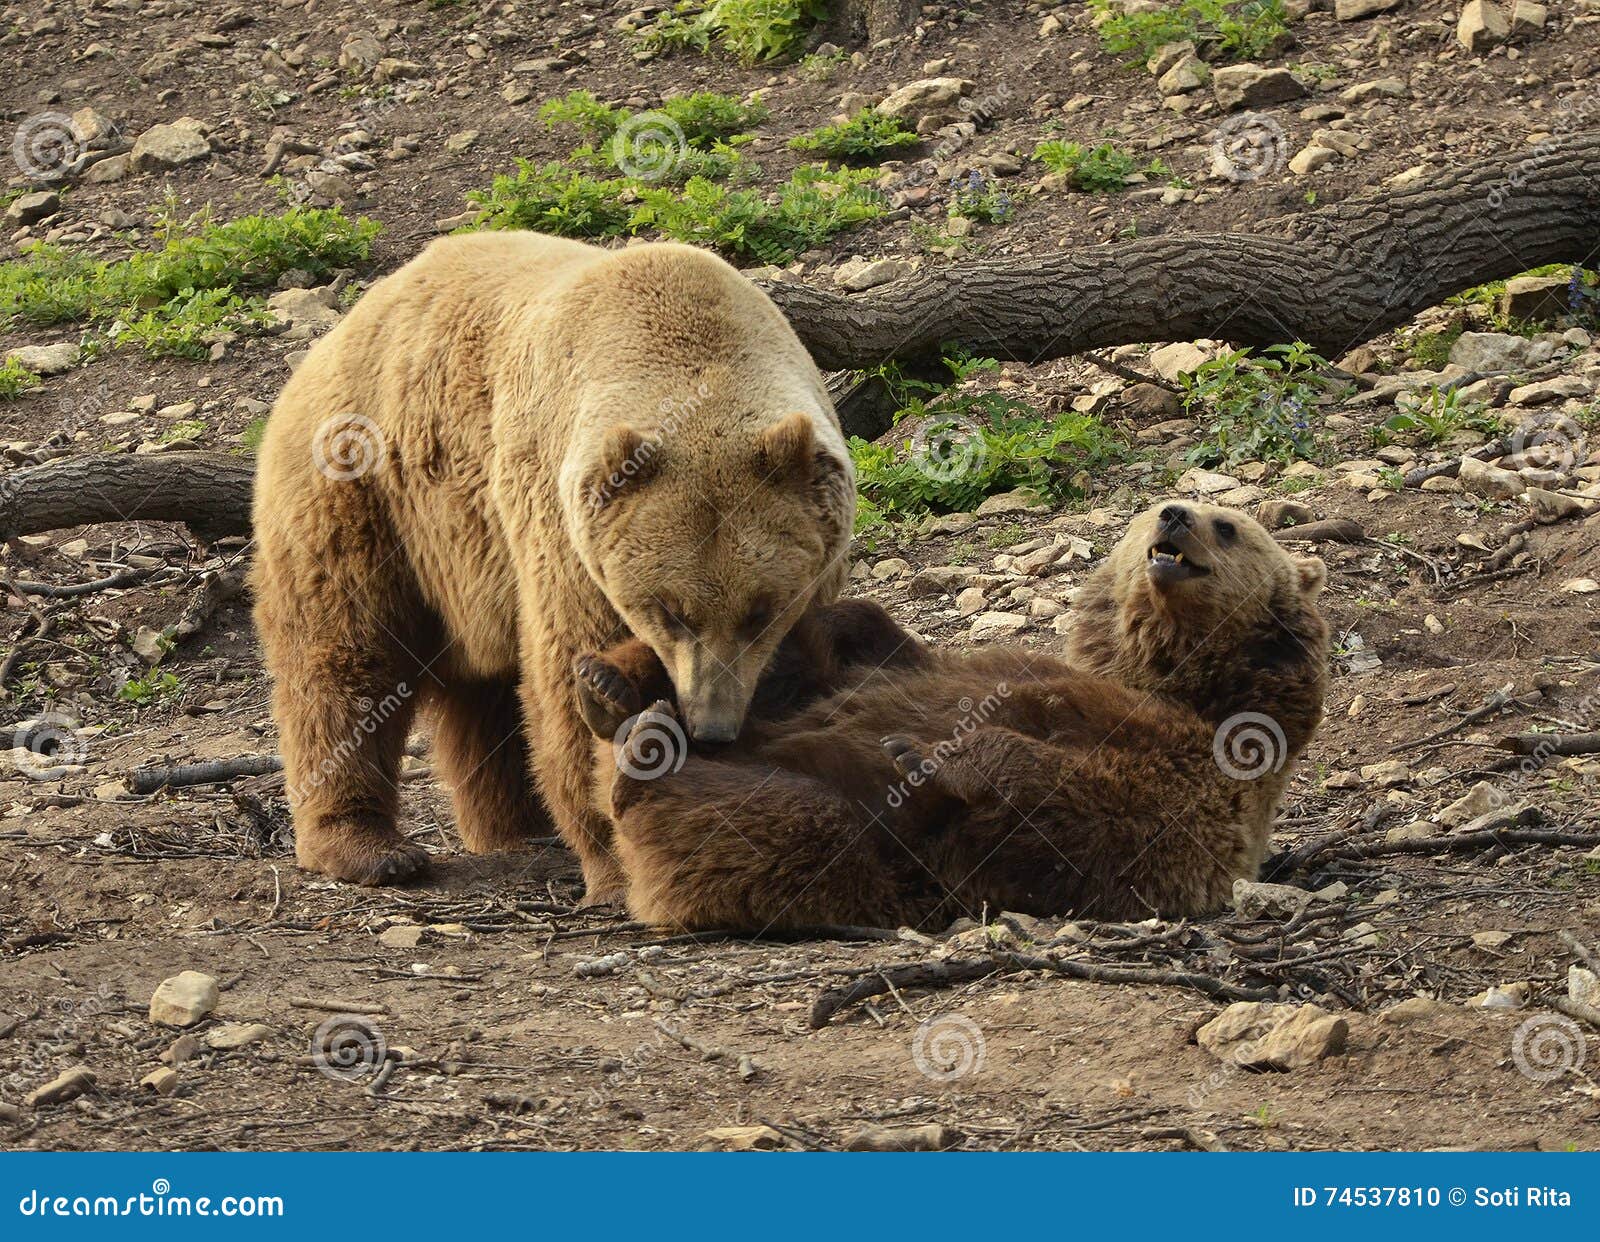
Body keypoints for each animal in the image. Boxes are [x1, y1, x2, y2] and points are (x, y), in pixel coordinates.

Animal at [250, 232, 855, 898]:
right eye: (670, 610)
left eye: (761, 611)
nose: (712, 725)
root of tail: (343, 326)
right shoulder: (565, 534)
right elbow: (570, 666)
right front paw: (615, 853)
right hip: (370, 495)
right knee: (346, 655)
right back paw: (366, 845)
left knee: (487, 694)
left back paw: (515, 827)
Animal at [574, 501, 1329, 931]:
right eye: (1153, 511)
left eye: (1227, 525)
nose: (1174, 515)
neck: (1170, 675)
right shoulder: (964, 665)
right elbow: (859, 640)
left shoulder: (1208, 777)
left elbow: (1100, 806)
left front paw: (935, 755)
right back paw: (610, 689)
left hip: (852, 844)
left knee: (780, 822)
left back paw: (644, 752)